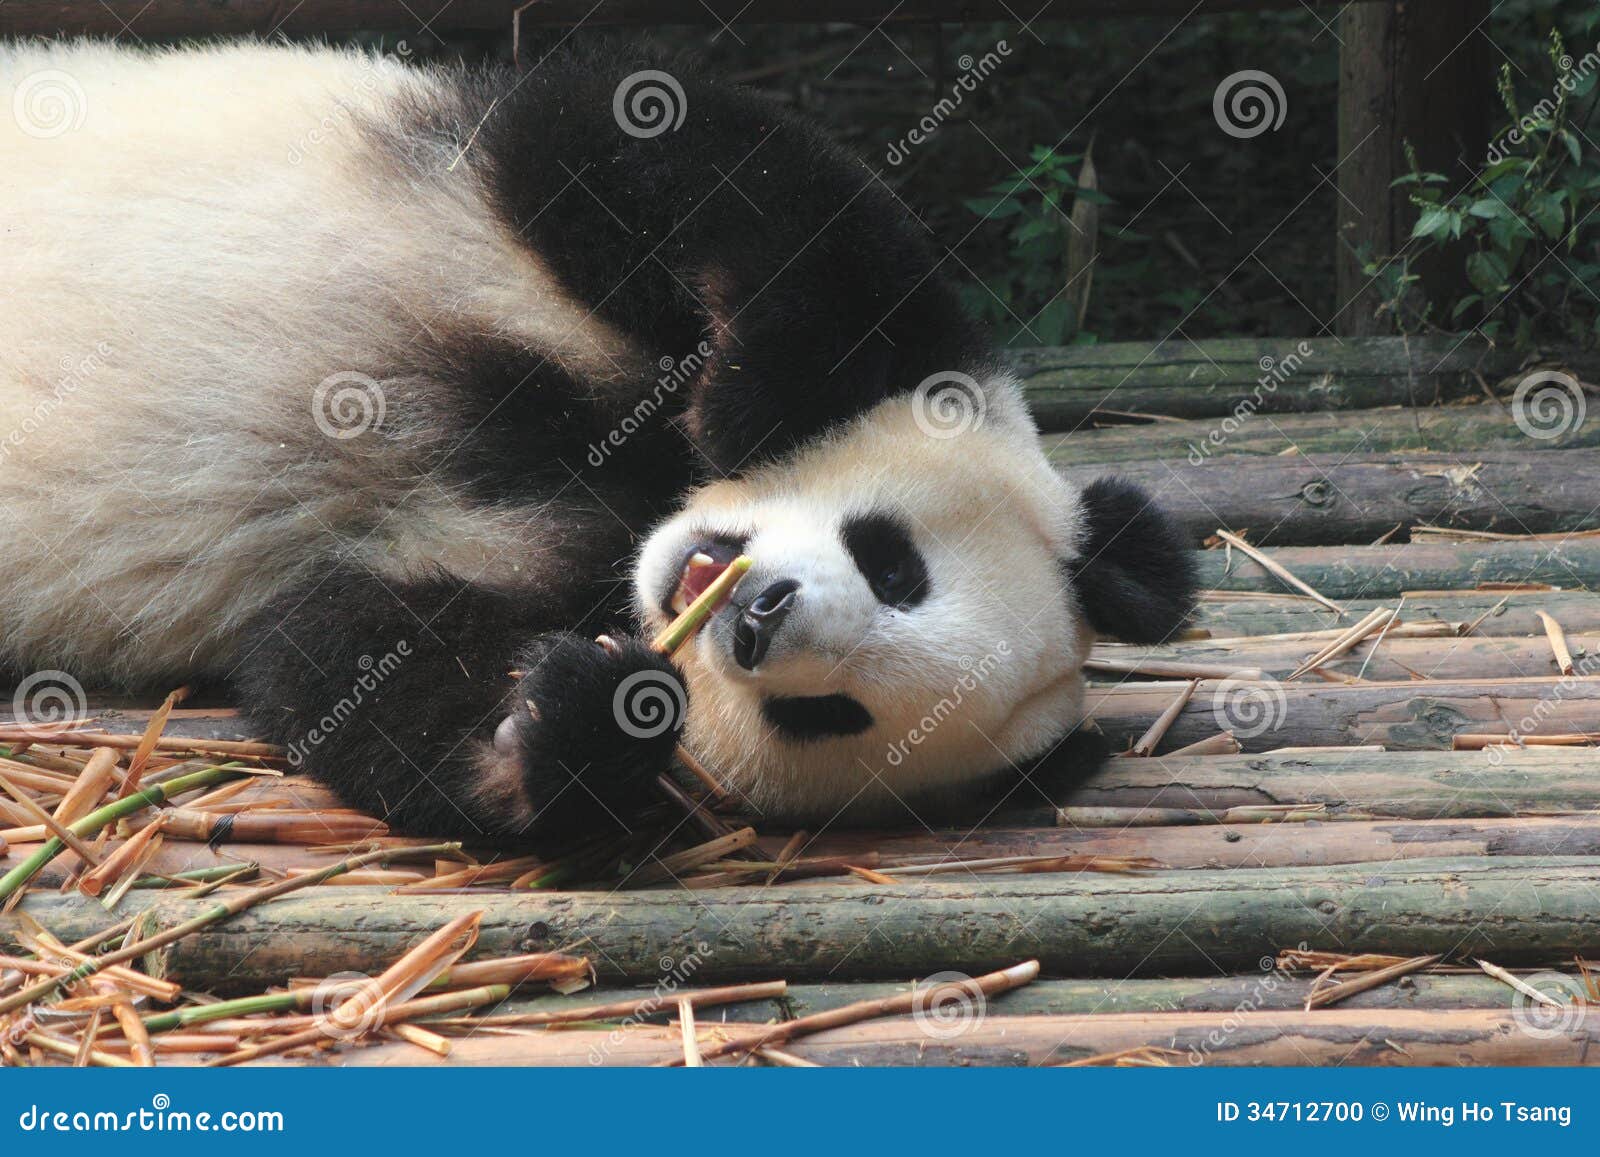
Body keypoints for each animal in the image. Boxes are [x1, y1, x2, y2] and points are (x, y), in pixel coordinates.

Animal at [0, 40, 1195, 851]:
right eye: (893, 561)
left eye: (826, 713)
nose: (760, 615)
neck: (634, 502)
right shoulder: (533, 167)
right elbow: (676, 148)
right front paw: (742, 402)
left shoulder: (523, 584)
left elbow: (334, 654)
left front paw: (564, 735)